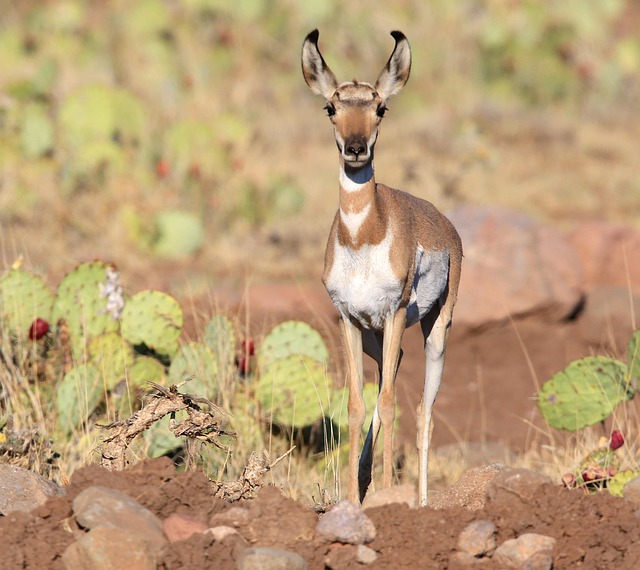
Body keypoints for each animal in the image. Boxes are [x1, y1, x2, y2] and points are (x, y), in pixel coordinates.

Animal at [301, 29, 462, 506]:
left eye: (380, 108)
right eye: (331, 107)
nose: (356, 150)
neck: (363, 238)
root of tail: (447, 226)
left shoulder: (392, 314)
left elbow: (391, 403)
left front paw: (389, 492)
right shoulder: (350, 320)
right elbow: (356, 404)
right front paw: (353, 499)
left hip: (435, 329)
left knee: (424, 411)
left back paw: (420, 499)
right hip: (377, 337)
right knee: (390, 382)